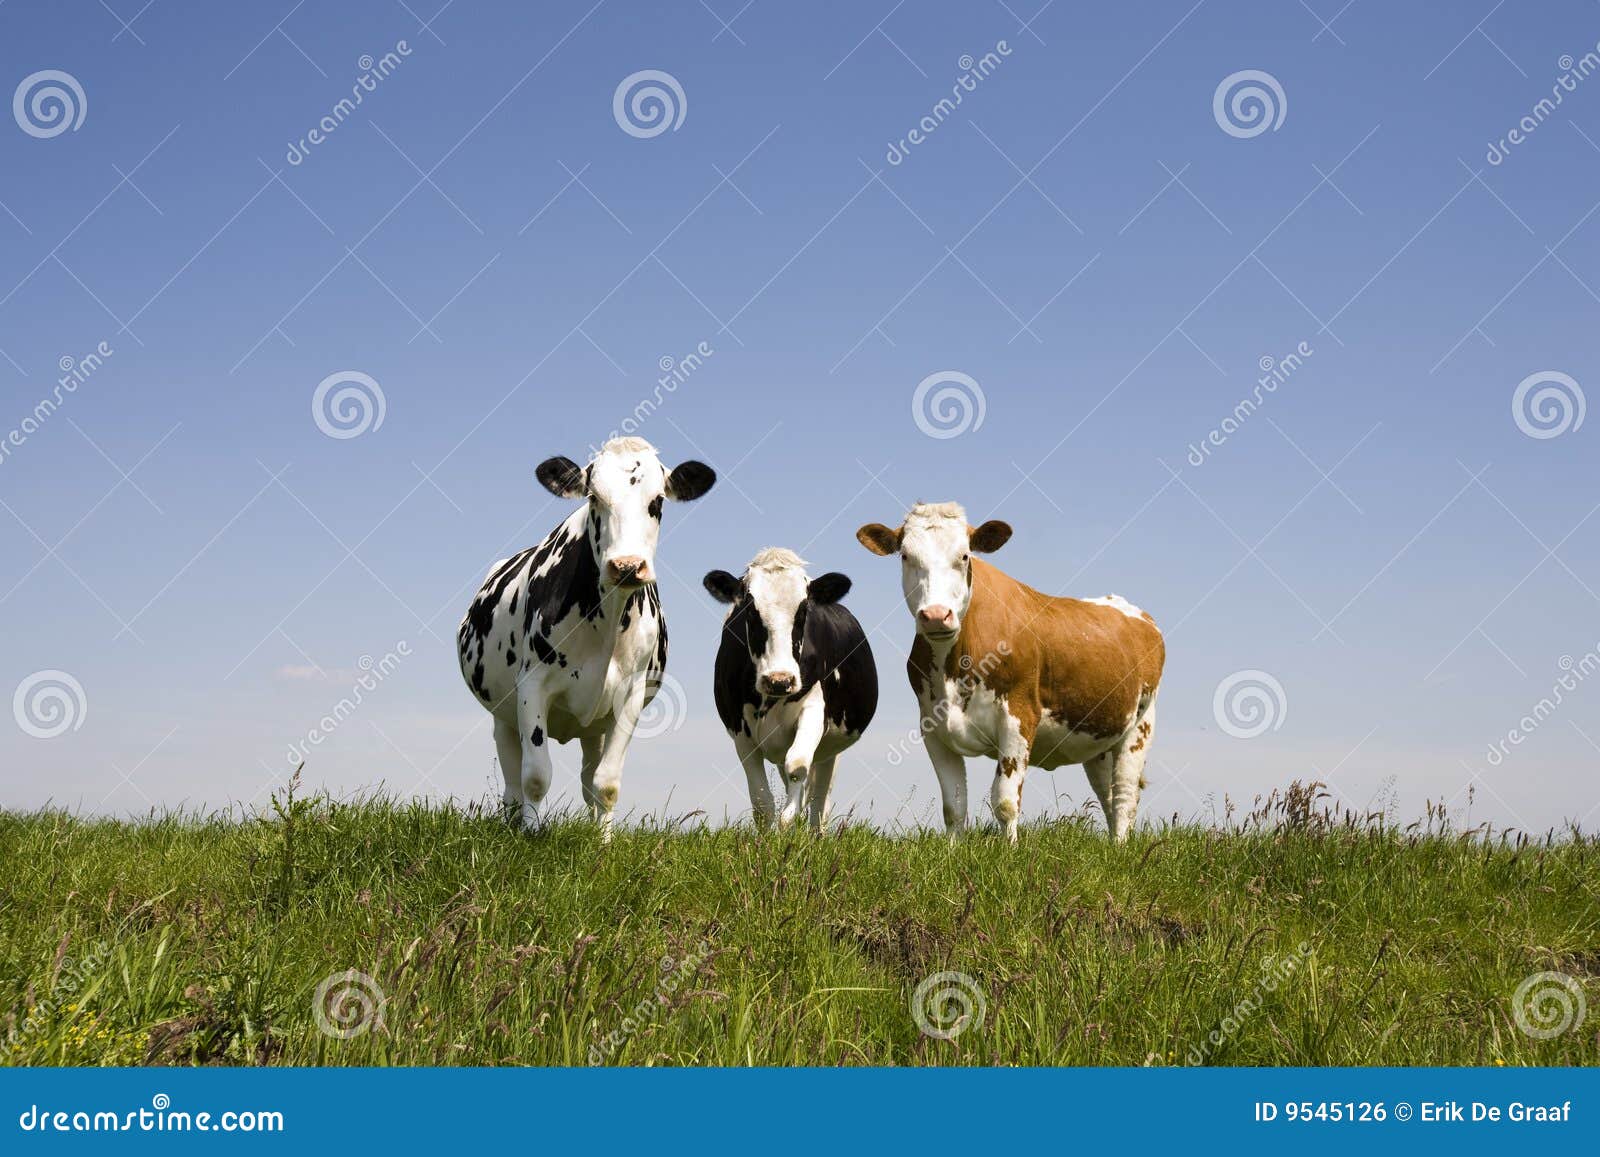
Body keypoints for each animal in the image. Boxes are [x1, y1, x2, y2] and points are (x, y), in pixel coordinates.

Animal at [456, 437, 715, 838]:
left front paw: (603, 842)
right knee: (512, 784)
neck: (605, 627)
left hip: (594, 725)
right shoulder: (532, 685)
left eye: (657, 501)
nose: (626, 566)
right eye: (594, 498)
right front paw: (531, 836)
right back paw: (514, 824)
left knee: (588, 778)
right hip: (502, 715)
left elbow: (605, 783)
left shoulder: (630, 694)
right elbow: (535, 776)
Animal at [702, 549, 877, 832]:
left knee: (820, 799)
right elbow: (762, 802)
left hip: (832, 747)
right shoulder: (740, 730)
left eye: (803, 610)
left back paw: (816, 833)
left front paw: (787, 825)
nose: (779, 680)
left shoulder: (815, 710)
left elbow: (797, 766)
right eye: (750, 610)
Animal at [856, 502, 1164, 843]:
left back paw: (1120, 846)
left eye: (965, 556)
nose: (936, 615)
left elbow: (1004, 800)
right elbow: (954, 805)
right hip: (1098, 737)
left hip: (1140, 724)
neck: (956, 668)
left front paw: (1010, 850)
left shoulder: (1019, 716)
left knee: (1125, 793)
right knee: (1106, 793)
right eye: (906, 556)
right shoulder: (933, 728)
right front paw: (952, 850)